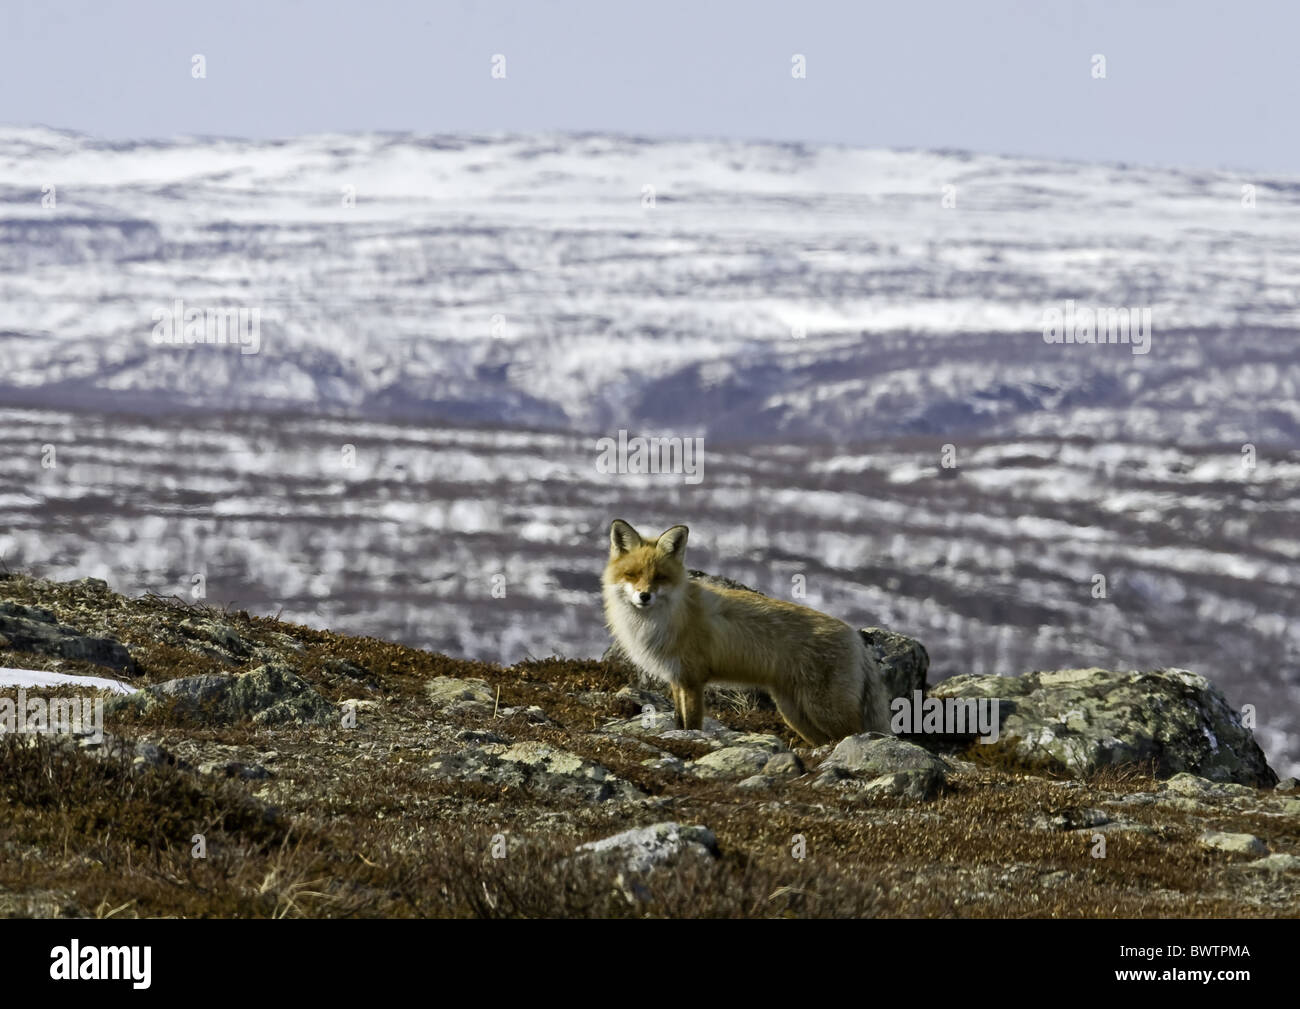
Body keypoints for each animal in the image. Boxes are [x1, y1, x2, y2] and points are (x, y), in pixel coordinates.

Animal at [601, 519, 891, 745]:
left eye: (660, 577)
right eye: (632, 574)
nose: (644, 596)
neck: (665, 621)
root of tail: (853, 635)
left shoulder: (693, 679)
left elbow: (692, 724)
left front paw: (690, 741)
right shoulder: (677, 679)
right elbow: (680, 721)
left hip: (825, 709)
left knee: (858, 734)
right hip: (795, 713)